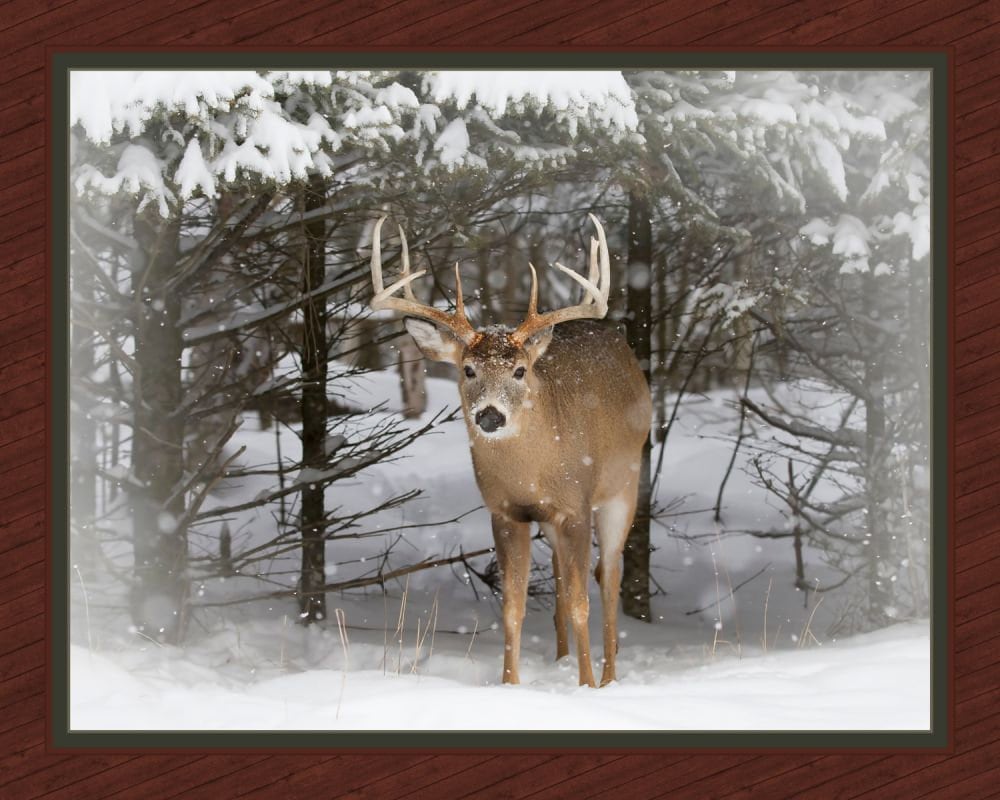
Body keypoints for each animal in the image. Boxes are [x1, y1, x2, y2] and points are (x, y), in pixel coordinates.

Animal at [368, 215, 652, 688]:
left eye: (519, 371)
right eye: (468, 369)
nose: (489, 415)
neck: (532, 471)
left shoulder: (575, 505)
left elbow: (582, 602)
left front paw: (586, 686)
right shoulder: (506, 512)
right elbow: (512, 606)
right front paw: (510, 684)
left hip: (622, 488)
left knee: (608, 575)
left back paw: (609, 675)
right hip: (553, 521)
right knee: (561, 576)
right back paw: (561, 659)